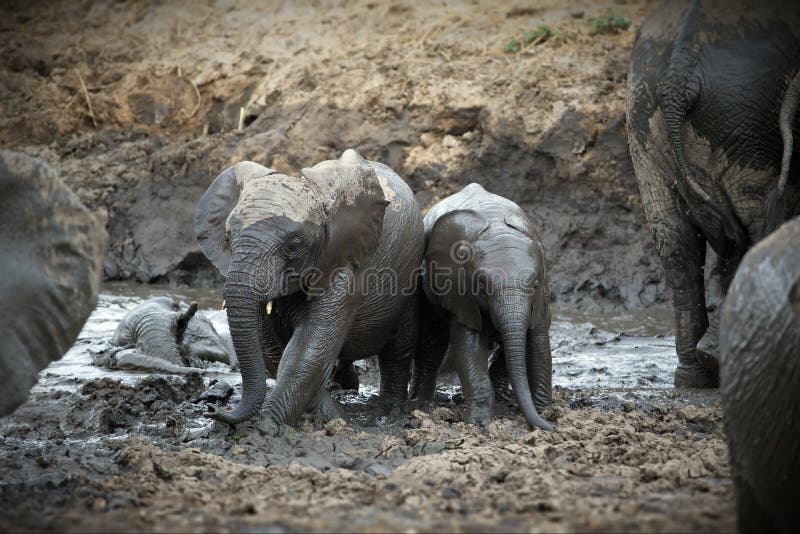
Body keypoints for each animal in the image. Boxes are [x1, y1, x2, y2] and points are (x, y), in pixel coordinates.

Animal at [195, 149, 424, 429]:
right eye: (228, 237)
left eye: (293, 246)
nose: (212, 409)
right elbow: (273, 351)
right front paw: (332, 413)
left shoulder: (343, 267)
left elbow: (306, 353)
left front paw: (267, 427)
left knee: (397, 351)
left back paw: (388, 411)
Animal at [413, 183, 553, 431]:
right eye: (481, 286)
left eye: (535, 284)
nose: (549, 427)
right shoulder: (460, 293)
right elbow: (469, 345)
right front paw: (478, 423)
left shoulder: (541, 298)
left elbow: (537, 342)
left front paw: (546, 412)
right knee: (432, 340)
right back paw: (421, 404)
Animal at [626, 0, 800, 388]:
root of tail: (679, 78)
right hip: (746, 123)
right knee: (756, 225)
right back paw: (723, 362)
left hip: (643, 115)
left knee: (675, 243)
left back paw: (695, 375)